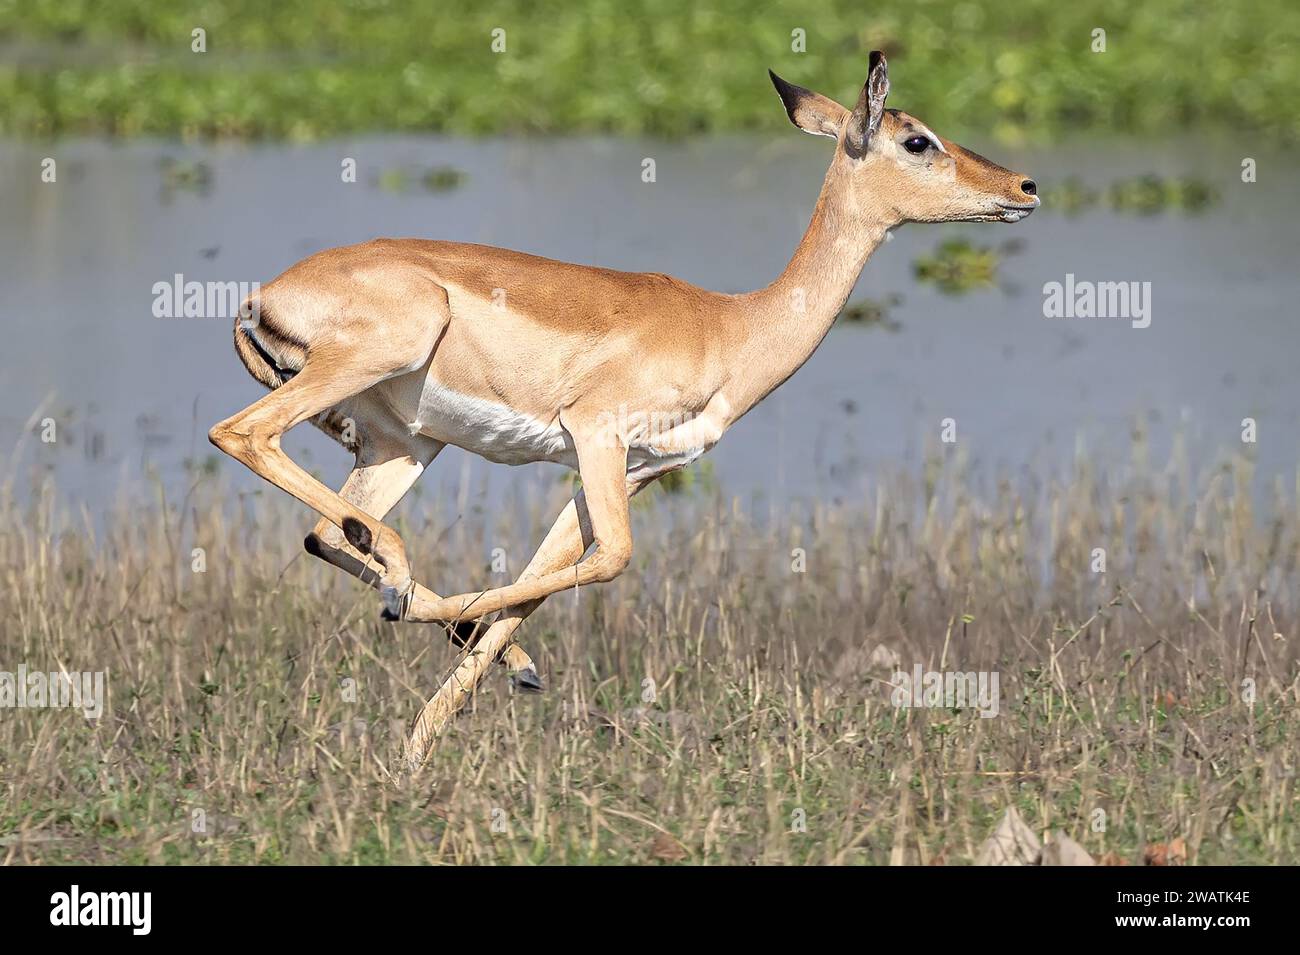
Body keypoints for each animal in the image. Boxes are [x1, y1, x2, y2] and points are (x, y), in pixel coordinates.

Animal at [209, 52, 1039, 767]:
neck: (730, 326)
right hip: (369, 376)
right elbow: (610, 560)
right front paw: (445, 639)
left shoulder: (625, 471)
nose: (1026, 186)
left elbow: (540, 585)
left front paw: (421, 748)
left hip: (402, 444)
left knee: (327, 532)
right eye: (917, 138)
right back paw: (400, 583)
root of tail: (266, 295)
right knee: (242, 436)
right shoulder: (595, 435)